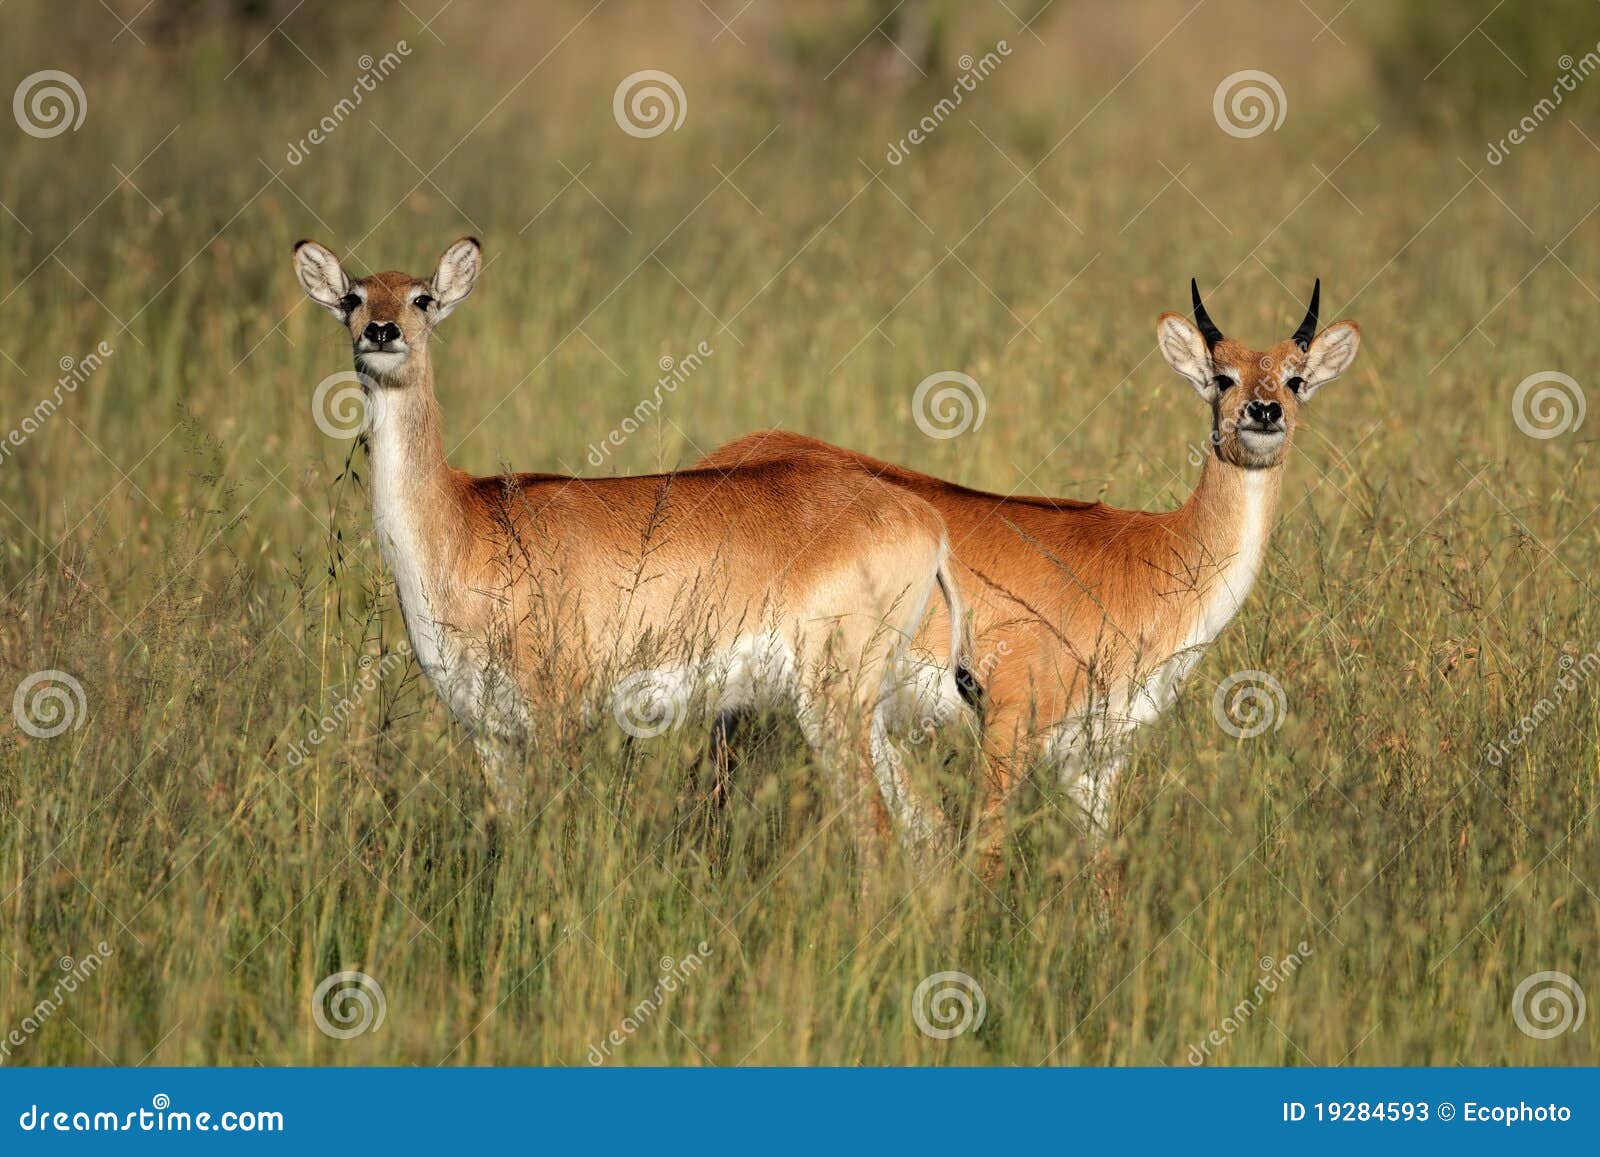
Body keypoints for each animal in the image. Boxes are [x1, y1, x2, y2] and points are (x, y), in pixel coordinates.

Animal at [291, 237, 970, 873]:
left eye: (422, 298)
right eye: (352, 297)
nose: (382, 331)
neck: (464, 525)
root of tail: (928, 522)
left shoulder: (559, 719)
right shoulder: (489, 733)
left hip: (833, 704)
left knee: (878, 835)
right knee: (927, 828)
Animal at [697, 281, 1360, 869]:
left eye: (1296, 378)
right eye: (1223, 376)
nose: (1265, 411)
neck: (1156, 558)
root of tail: (720, 460)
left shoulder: (1095, 764)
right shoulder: (1008, 726)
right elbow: (985, 854)